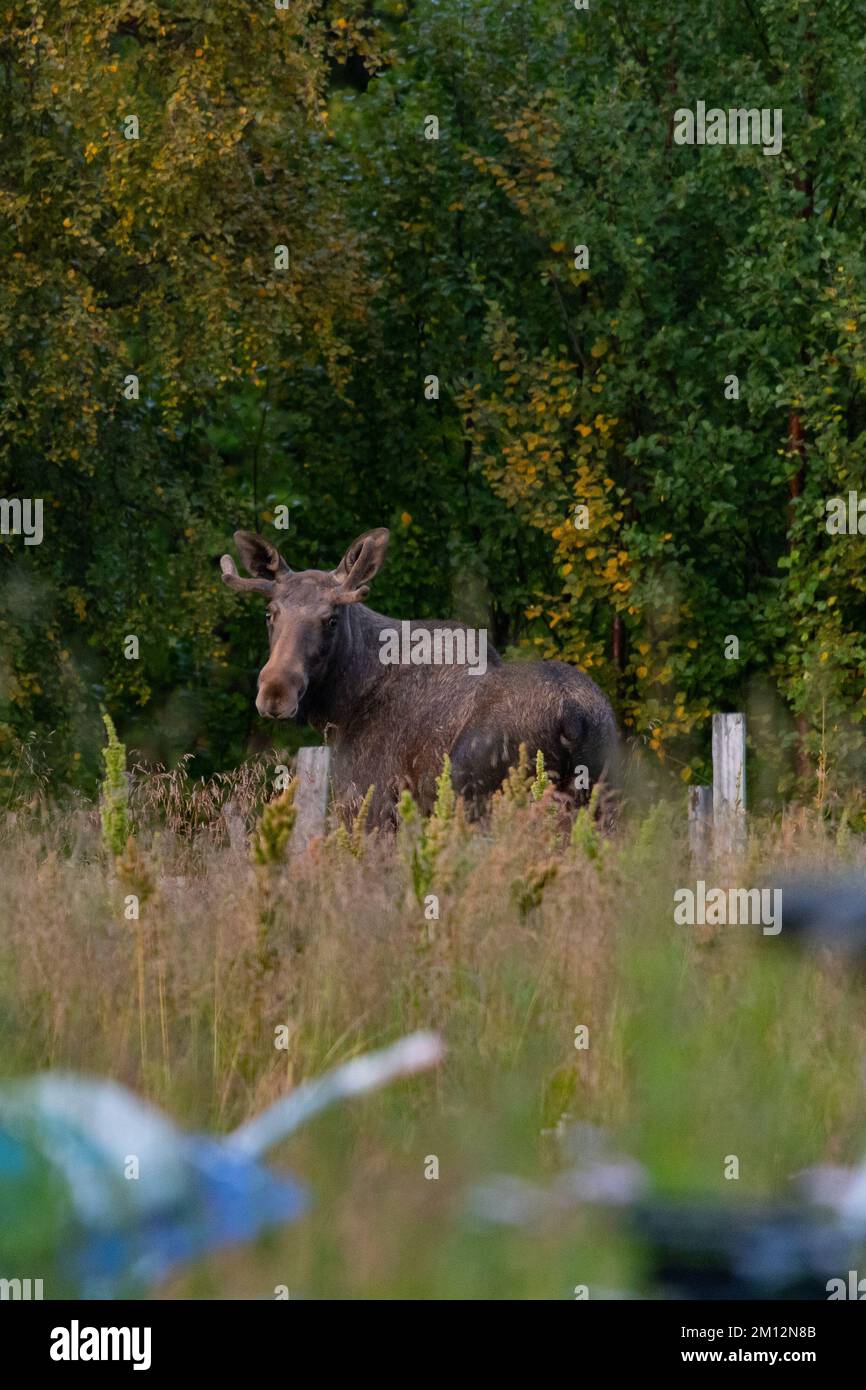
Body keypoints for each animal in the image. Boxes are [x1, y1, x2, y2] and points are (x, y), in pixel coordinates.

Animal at [221, 527, 619, 827]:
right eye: (270, 613)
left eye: (331, 619)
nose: (276, 692)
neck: (343, 706)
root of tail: (573, 716)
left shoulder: (369, 801)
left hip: (478, 799)